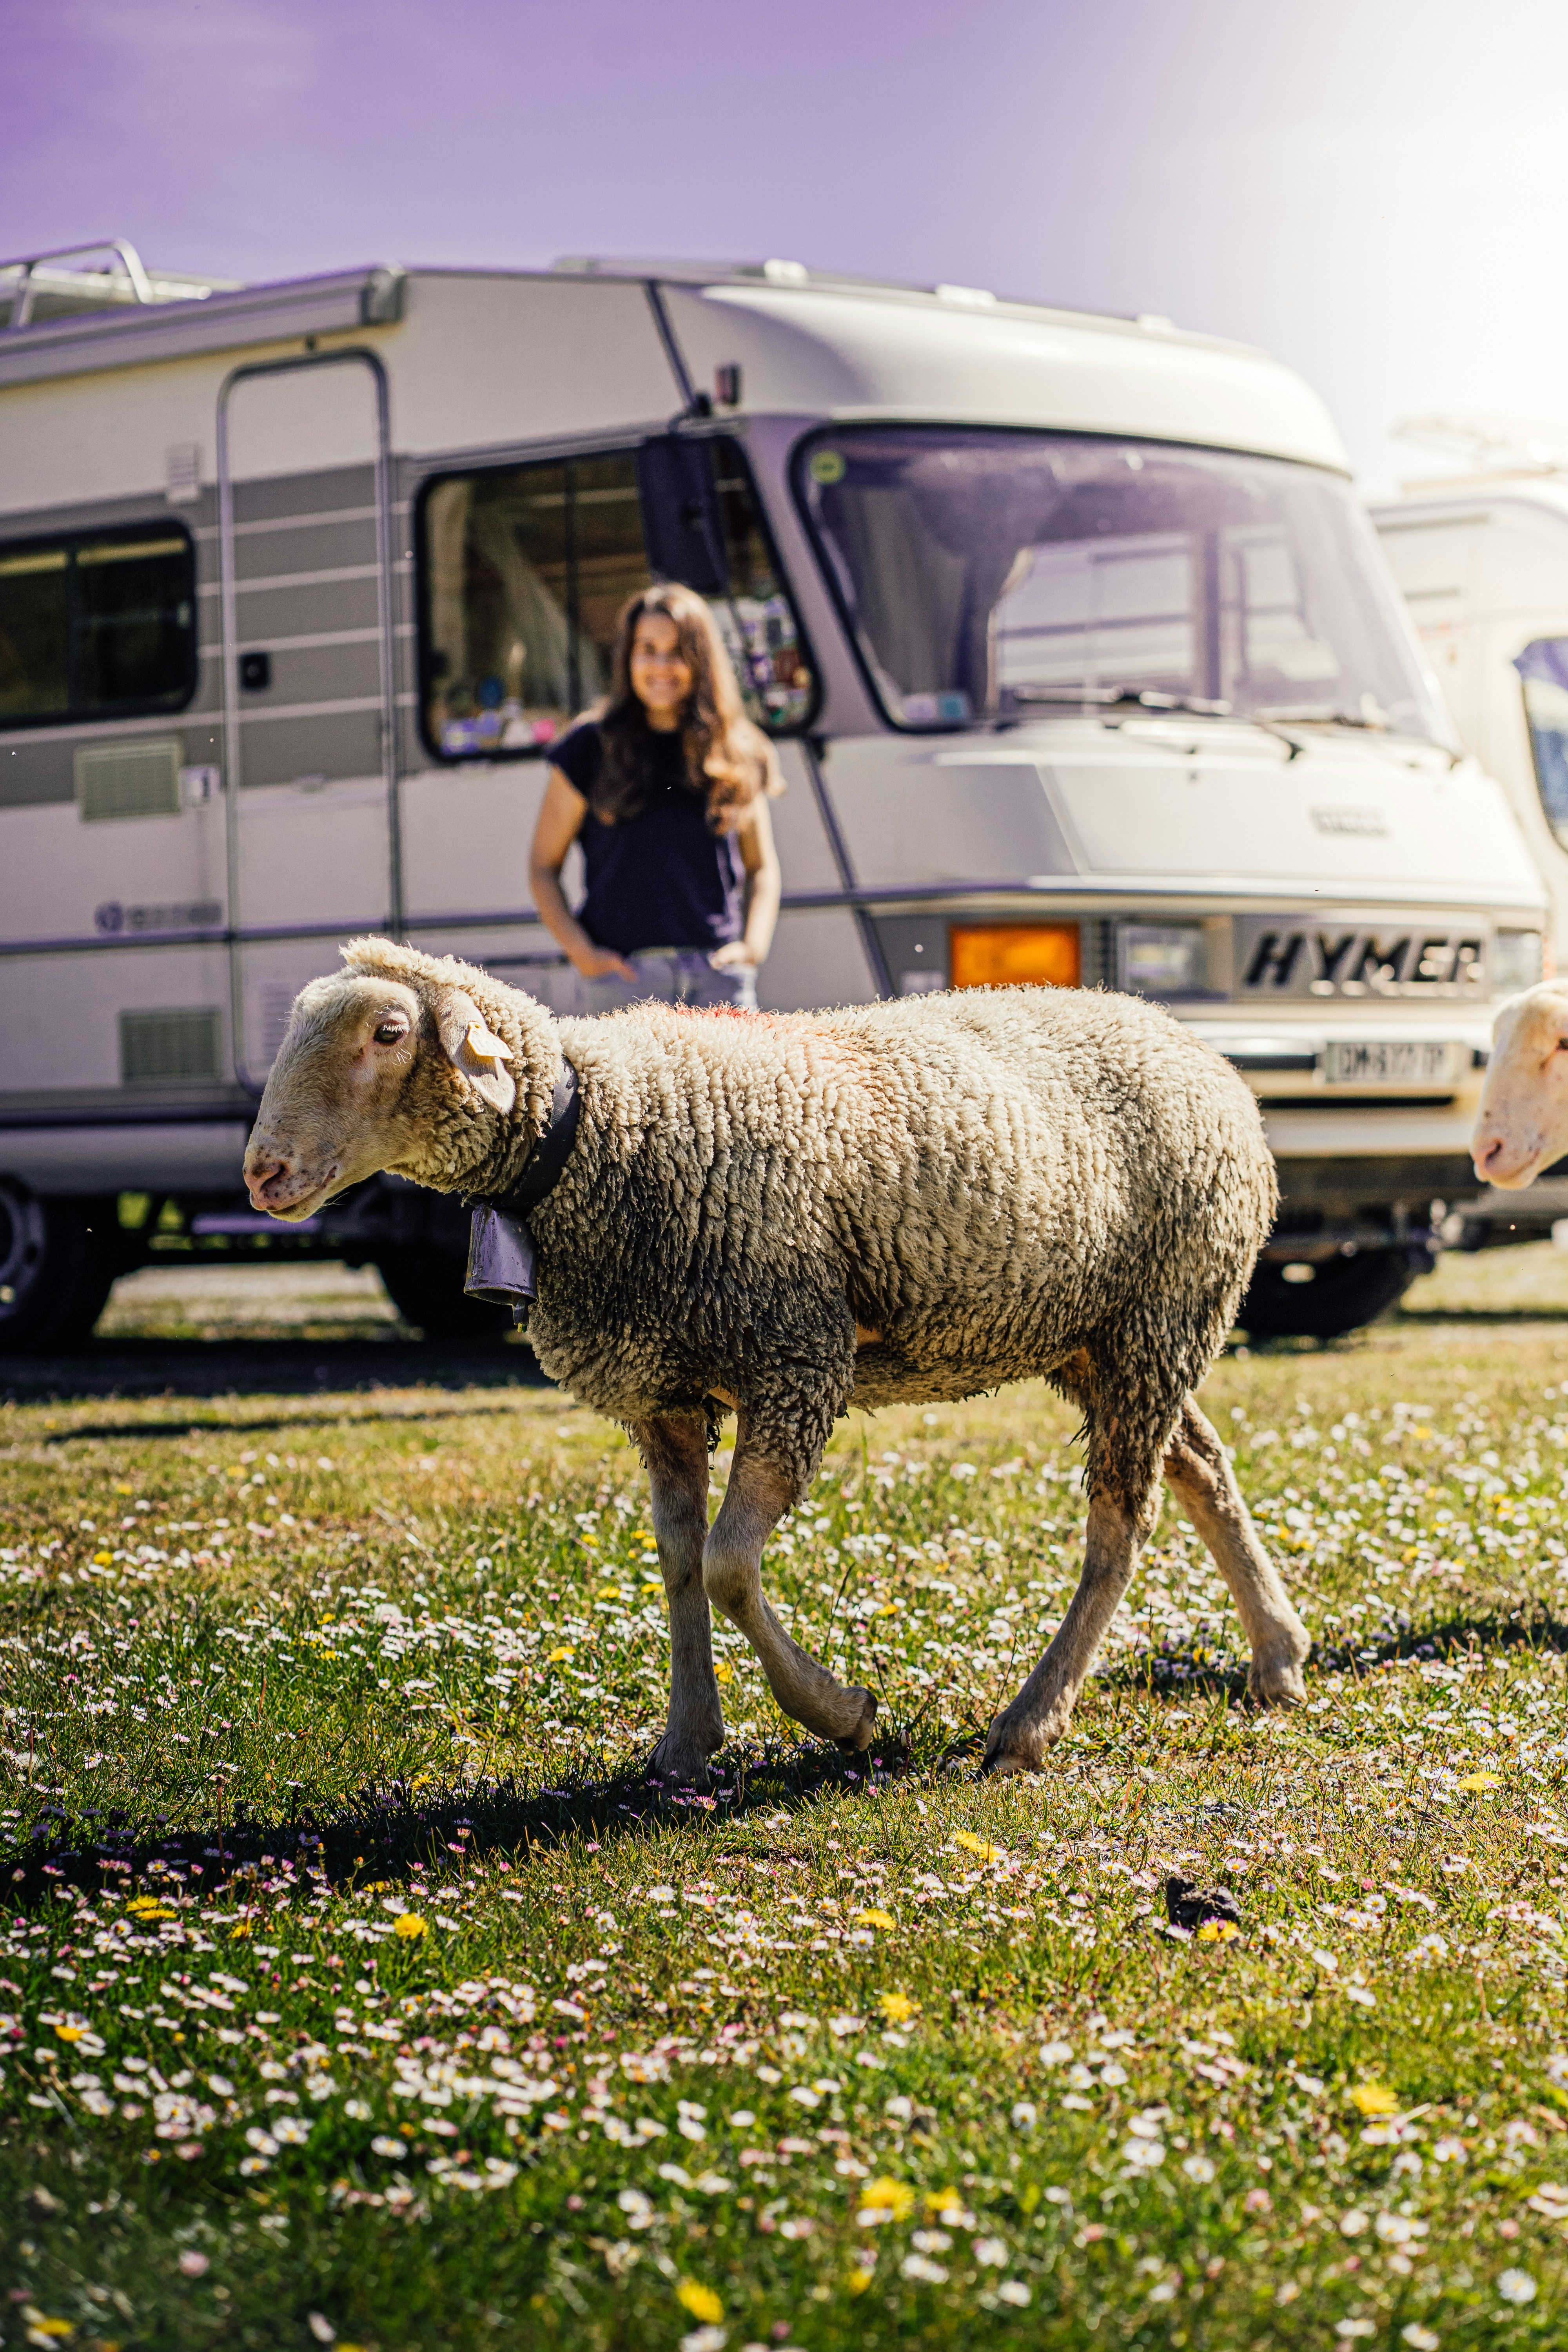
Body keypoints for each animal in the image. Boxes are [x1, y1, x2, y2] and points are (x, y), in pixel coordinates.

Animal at [243, 936, 1310, 1787]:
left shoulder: (798, 1358)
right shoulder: (663, 1394)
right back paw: (1277, 1656)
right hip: (1102, 1331)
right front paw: (684, 1743)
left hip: (1159, 1313)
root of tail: (1200, 1053)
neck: (596, 1135)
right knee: (1201, 1466)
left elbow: (724, 1565)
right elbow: (677, 1563)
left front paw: (839, 1713)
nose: (262, 1173)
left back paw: (1029, 1724)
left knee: (1121, 1524)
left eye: (387, 1032)